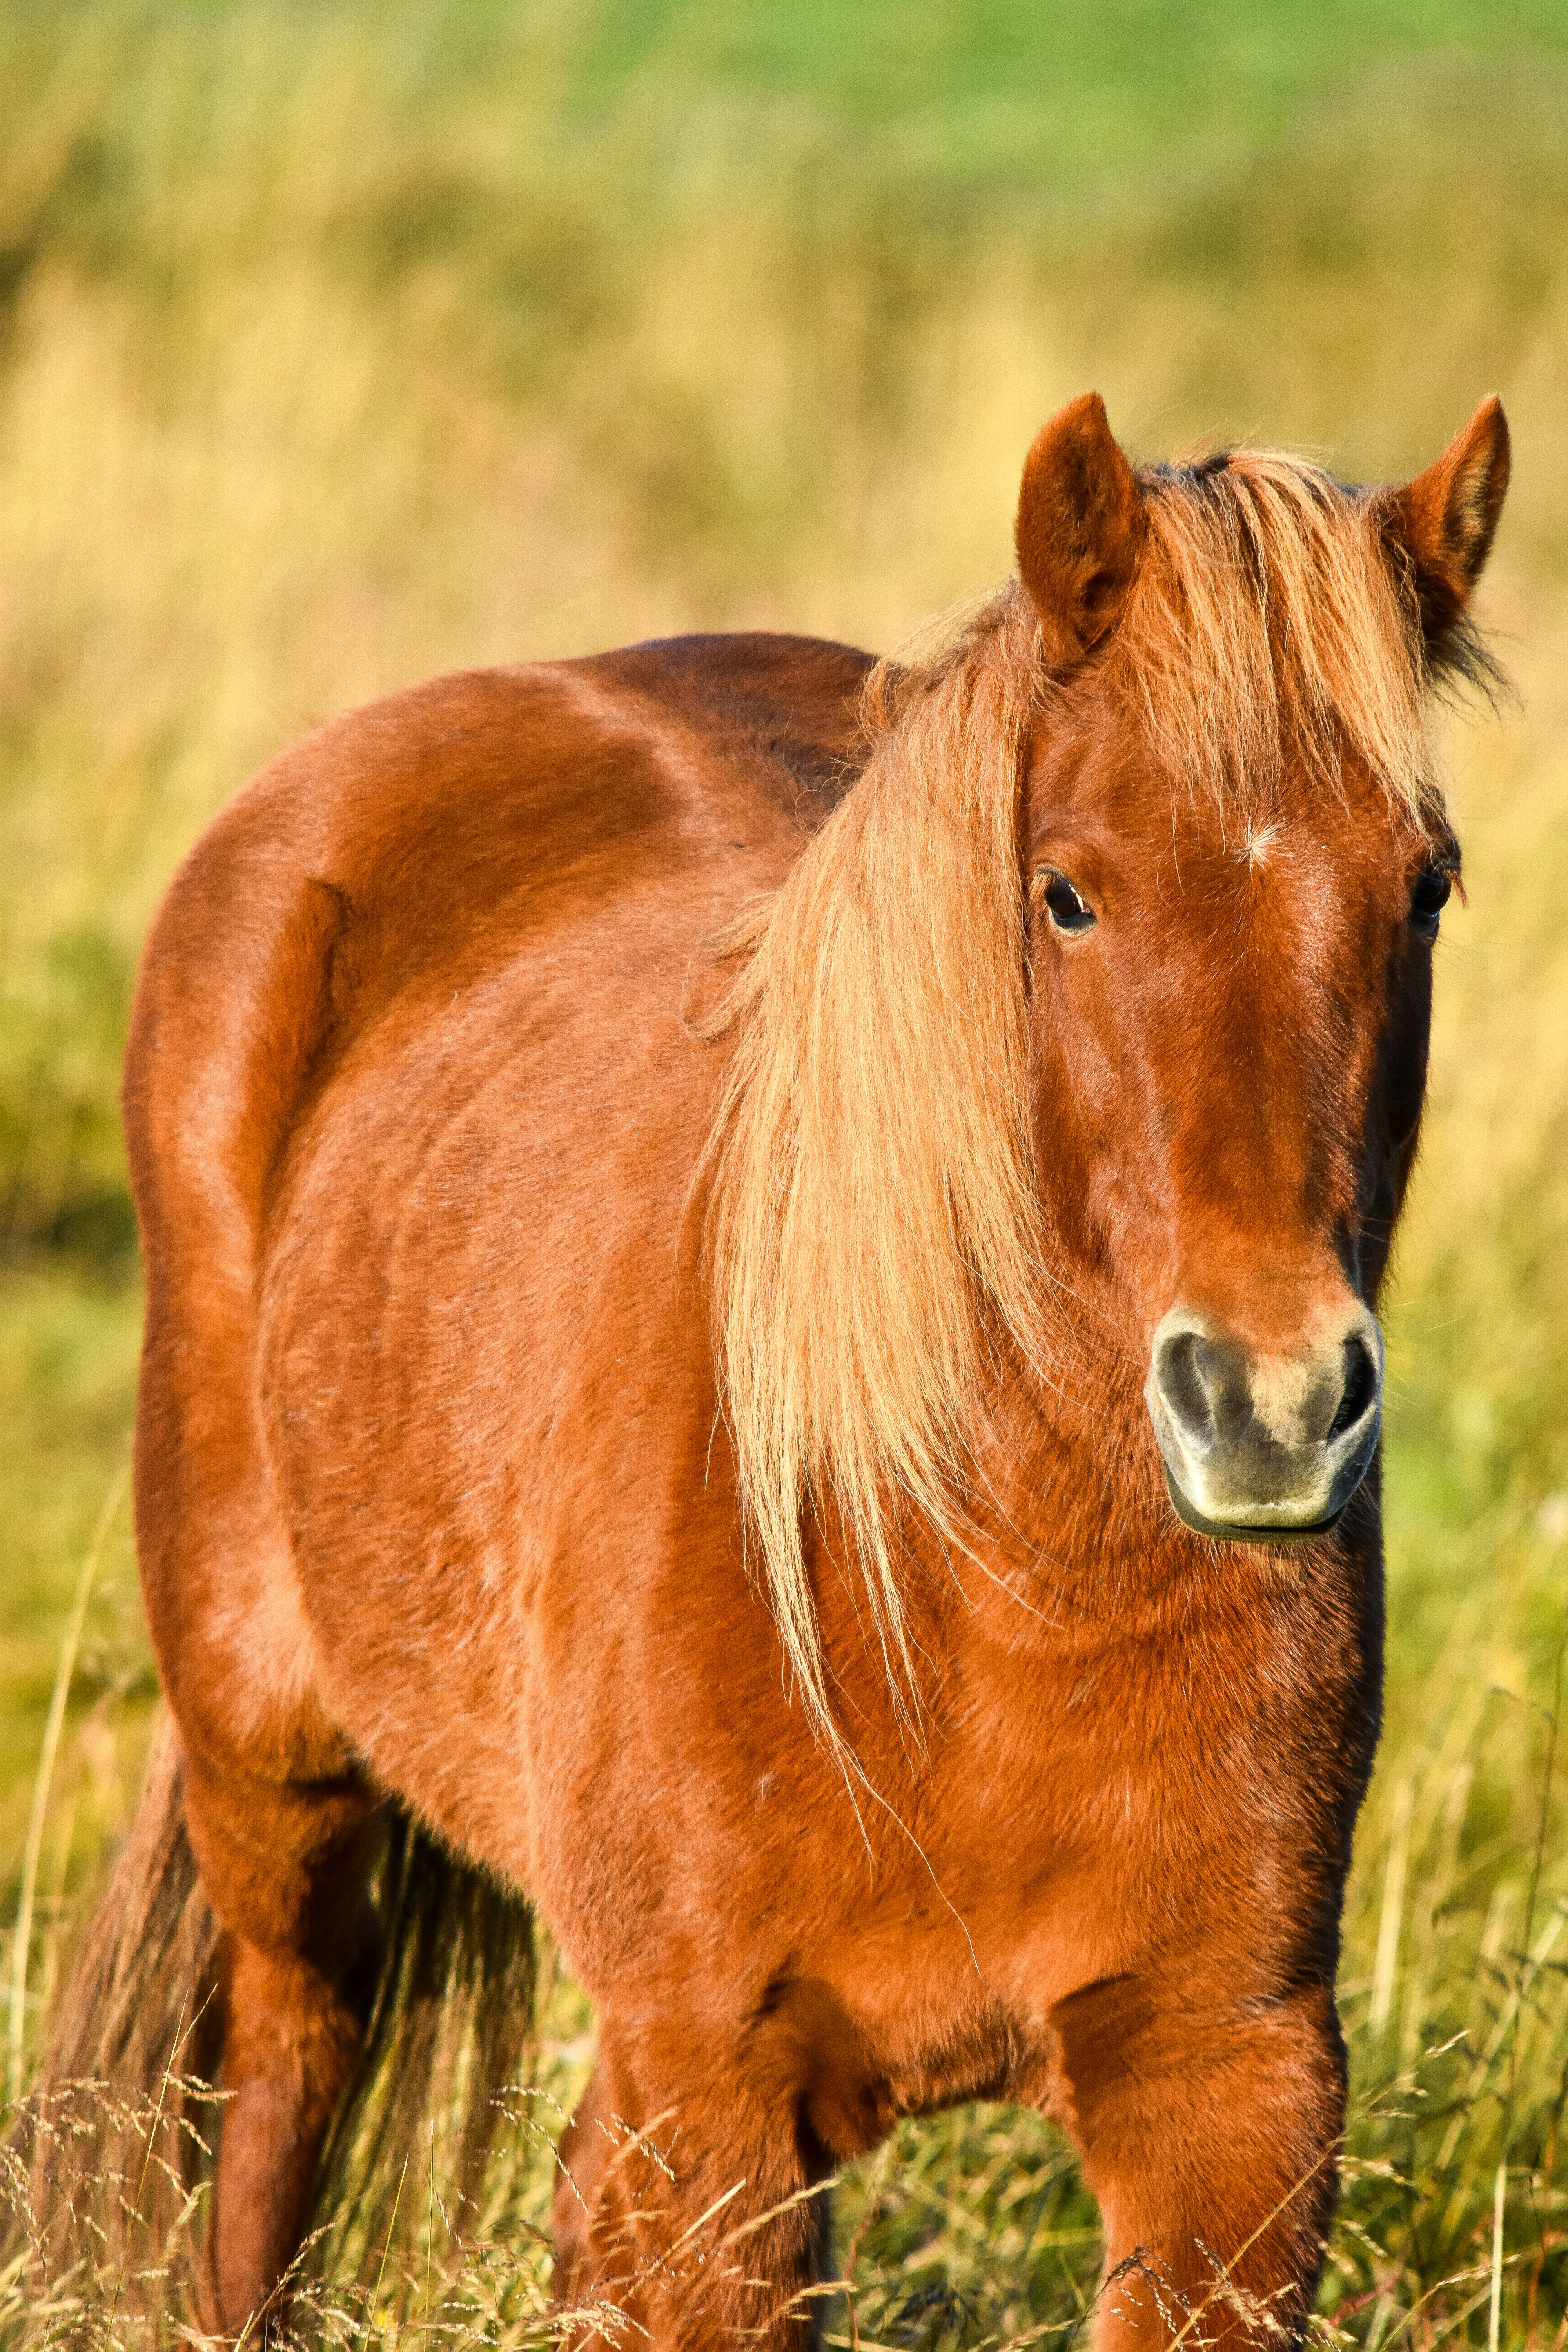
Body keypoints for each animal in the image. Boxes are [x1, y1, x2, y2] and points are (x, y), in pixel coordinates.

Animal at [48, 389, 1509, 2346]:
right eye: (1065, 895)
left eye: (1421, 890)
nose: (1268, 1406)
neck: (984, 1581)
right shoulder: (718, 2108)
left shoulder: (1235, 2094)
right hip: (270, 1765)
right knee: (283, 2084)